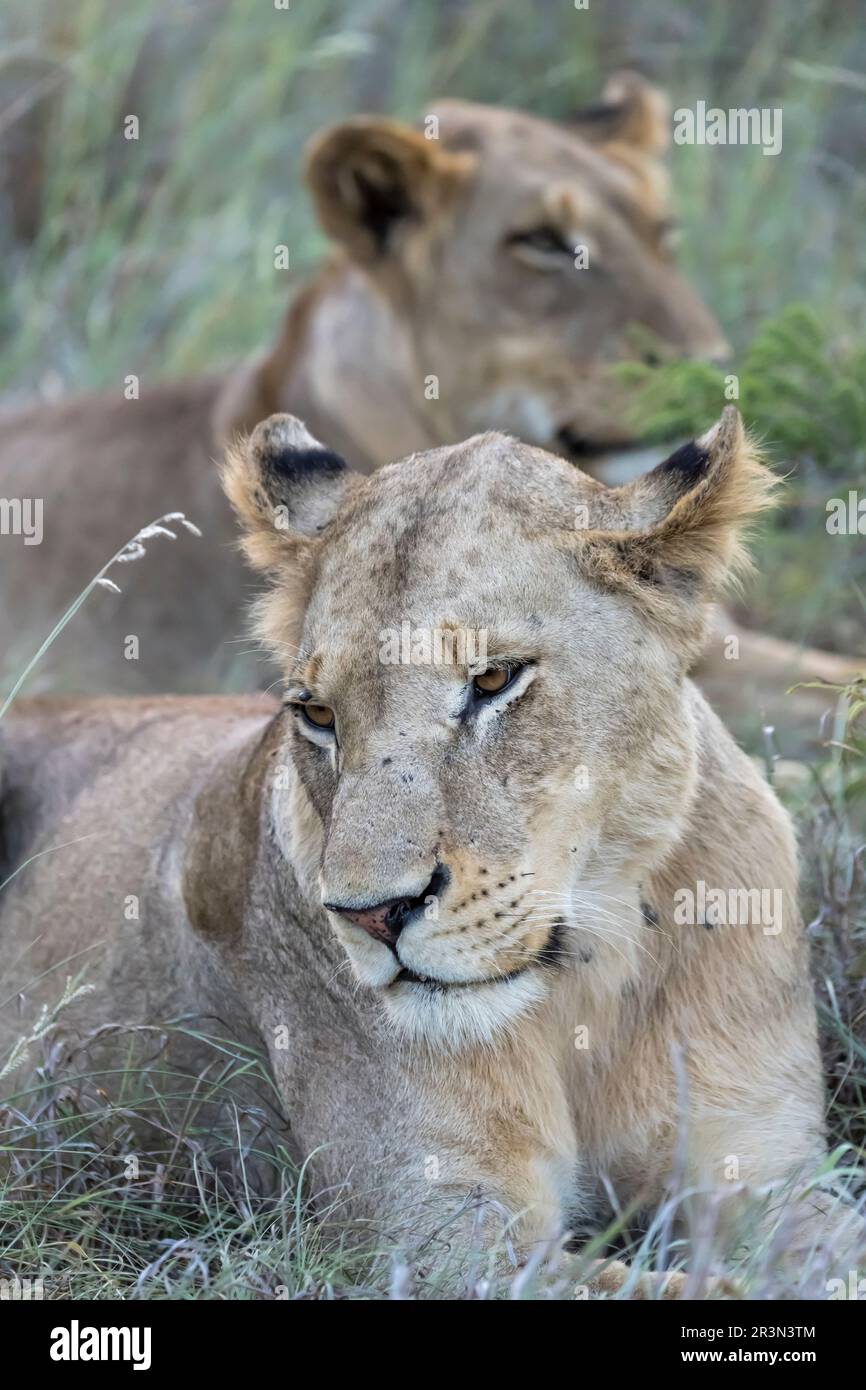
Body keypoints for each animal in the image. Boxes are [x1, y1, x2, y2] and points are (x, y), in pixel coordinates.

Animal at [2, 407, 859, 1283]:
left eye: (494, 680)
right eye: (316, 714)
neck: (586, 979)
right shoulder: (446, 1235)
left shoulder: (765, 1171)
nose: (373, 915)